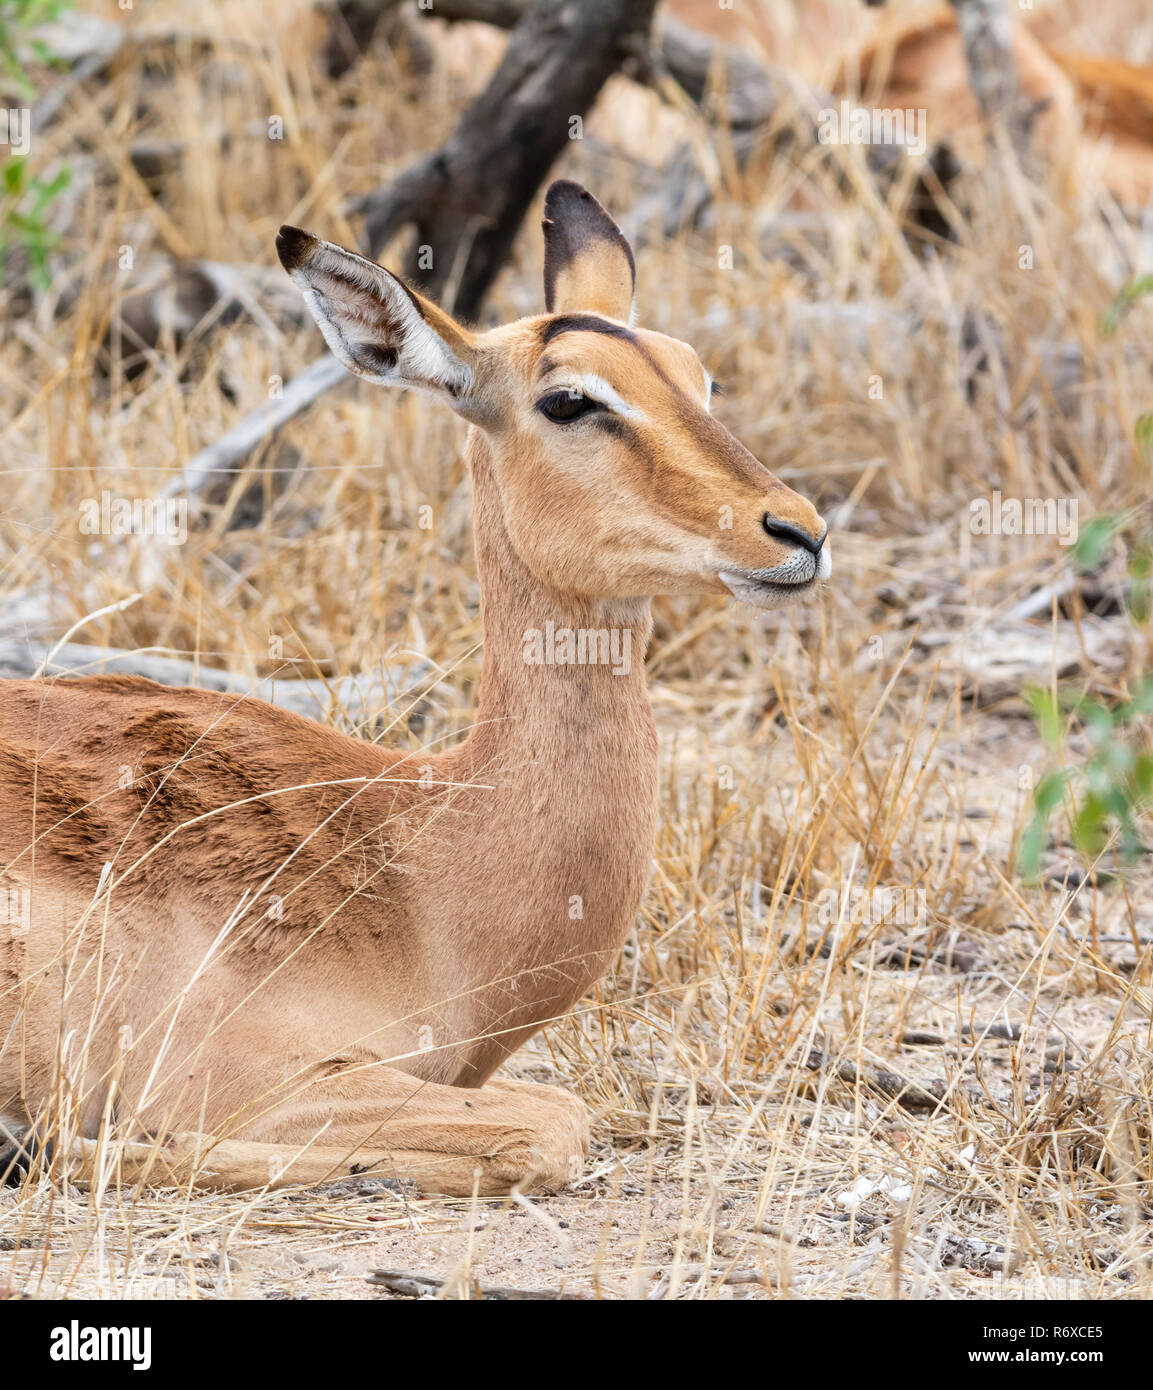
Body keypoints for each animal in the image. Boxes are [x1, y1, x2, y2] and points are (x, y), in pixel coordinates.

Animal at [0, 182, 830, 1196]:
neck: (423, 863)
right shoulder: (248, 1075)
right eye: (568, 399)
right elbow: (554, 1121)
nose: (796, 531)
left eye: (696, 376)